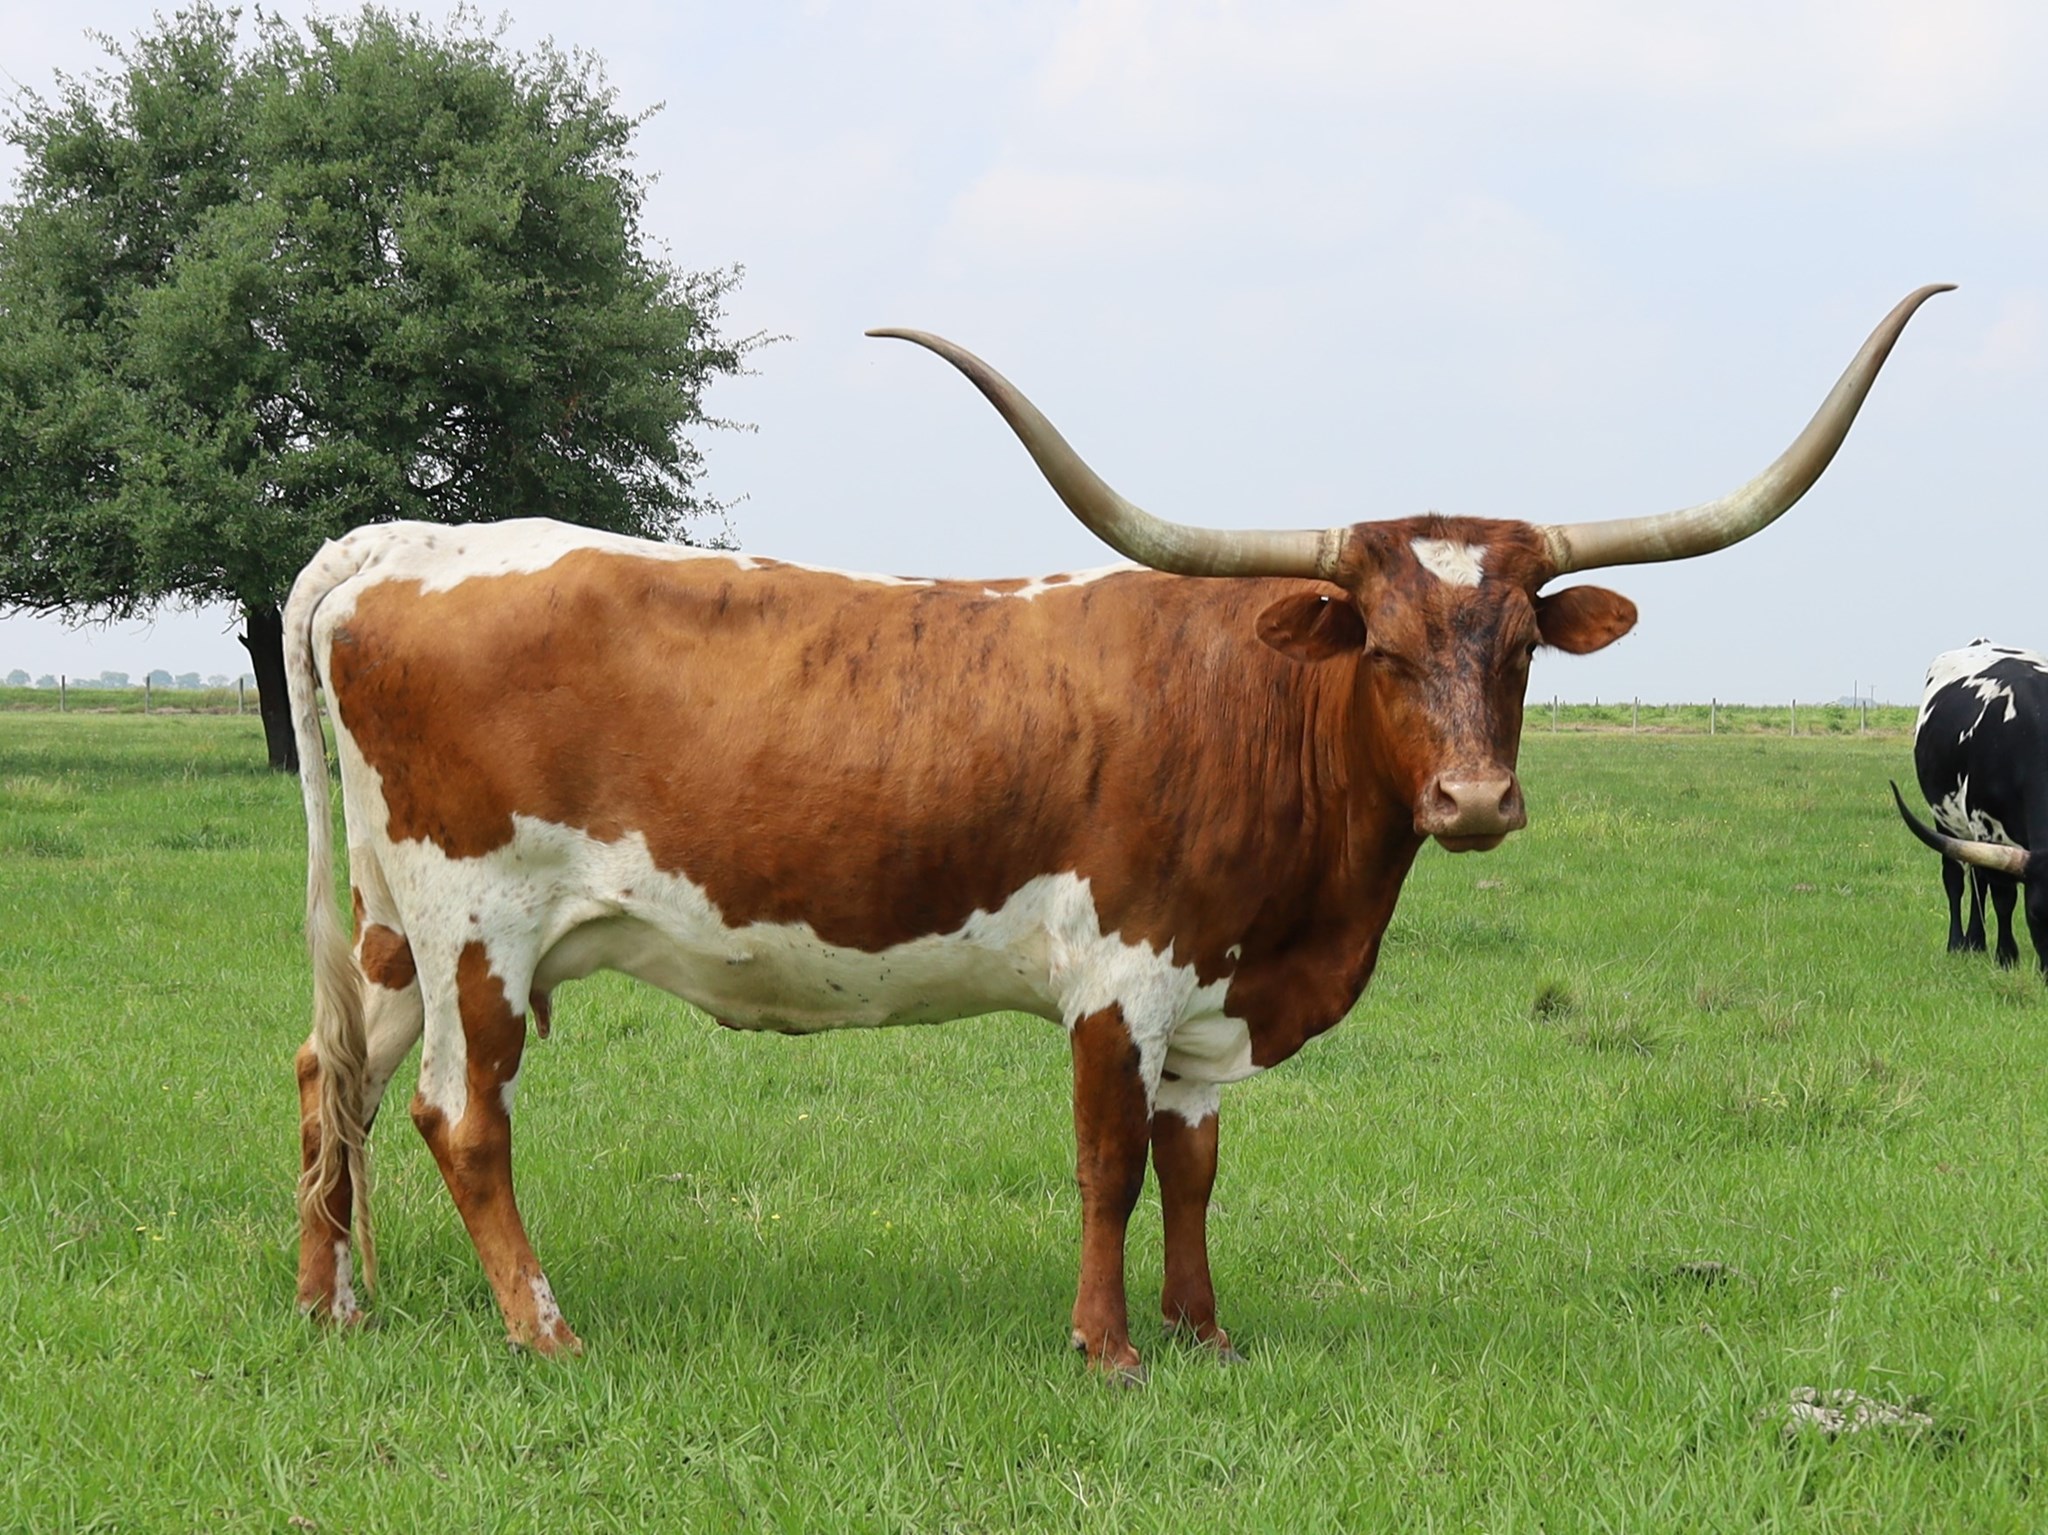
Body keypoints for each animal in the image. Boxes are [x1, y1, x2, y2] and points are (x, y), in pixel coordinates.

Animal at [292, 286, 1948, 1380]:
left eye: (1523, 645)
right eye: (1381, 645)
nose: (1475, 800)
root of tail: (407, 541)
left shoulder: (1215, 997)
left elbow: (1192, 1161)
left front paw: (1204, 1329)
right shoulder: (1123, 973)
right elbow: (1109, 1162)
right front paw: (1107, 1348)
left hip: (389, 927)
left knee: (332, 1075)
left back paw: (328, 1303)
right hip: (479, 925)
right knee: (459, 1114)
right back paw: (544, 1326)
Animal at [1893, 638, 2048, 973]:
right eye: (2036, 913)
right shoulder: (1986, 826)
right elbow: (2003, 896)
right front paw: (2006, 956)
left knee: (1979, 879)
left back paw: (1976, 940)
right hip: (1946, 821)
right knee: (1957, 878)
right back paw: (1961, 943)